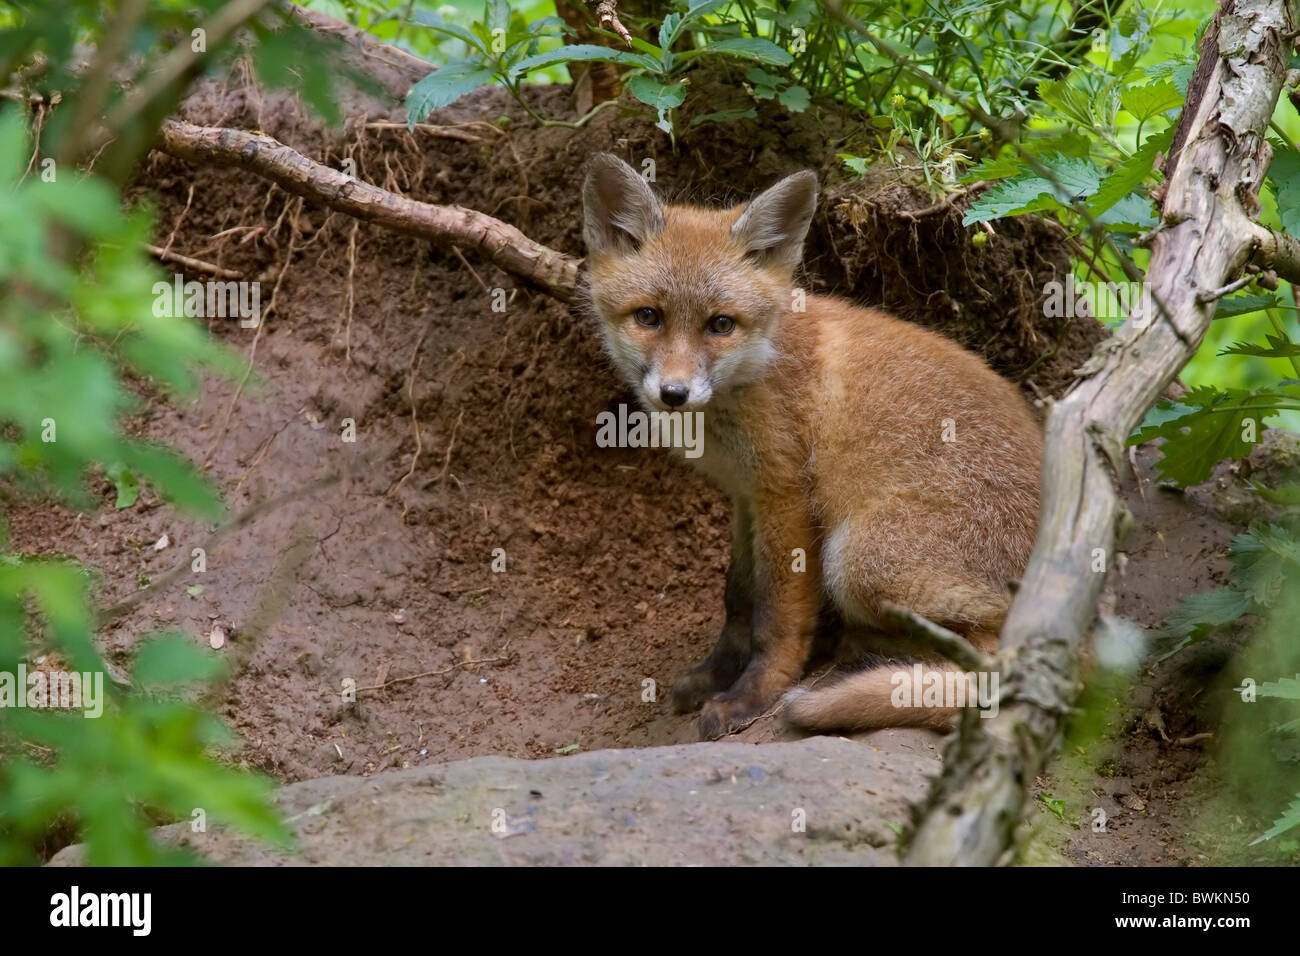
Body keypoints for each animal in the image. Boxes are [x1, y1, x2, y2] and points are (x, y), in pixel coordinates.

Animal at [580, 153, 1042, 740]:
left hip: (857, 561)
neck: (756, 370)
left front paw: (752, 695)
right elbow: (737, 597)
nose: (674, 393)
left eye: (720, 324)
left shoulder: (786, 494)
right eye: (648, 317)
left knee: (979, 651)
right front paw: (715, 674)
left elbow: (776, 615)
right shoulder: (745, 493)